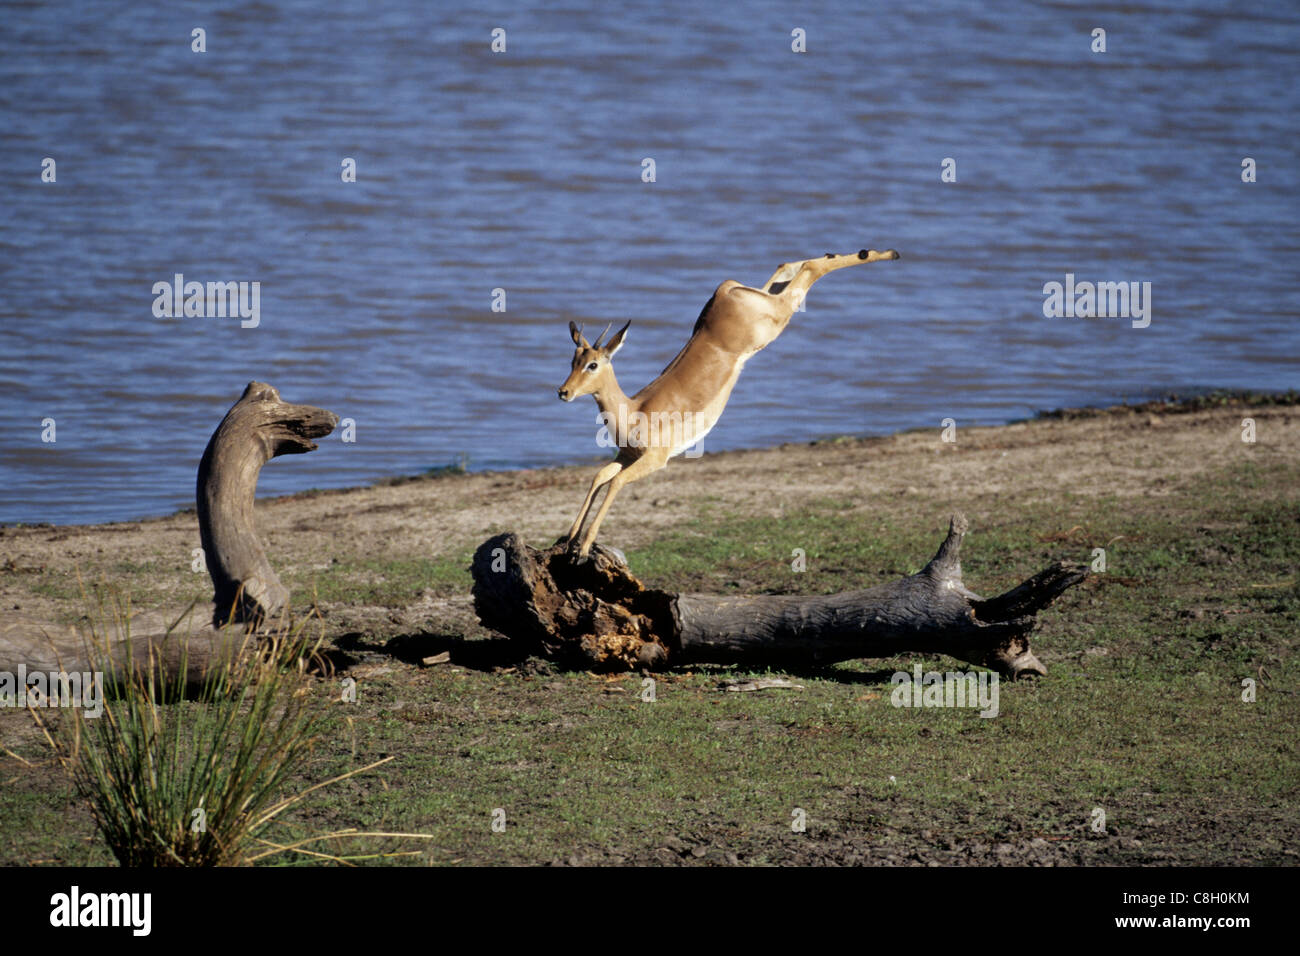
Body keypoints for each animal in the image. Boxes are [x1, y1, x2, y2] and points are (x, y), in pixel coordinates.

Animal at [557, 248, 900, 559]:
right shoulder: (627, 456)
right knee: (788, 265)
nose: (563, 392)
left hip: (779, 317)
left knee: (809, 269)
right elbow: (599, 477)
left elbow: (614, 483)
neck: (633, 411)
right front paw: (568, 538)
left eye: (593, 365)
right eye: (574, 360)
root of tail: (724, 293)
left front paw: (583, 548)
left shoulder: (656, 459)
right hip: (766, 301)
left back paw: (887, 254)